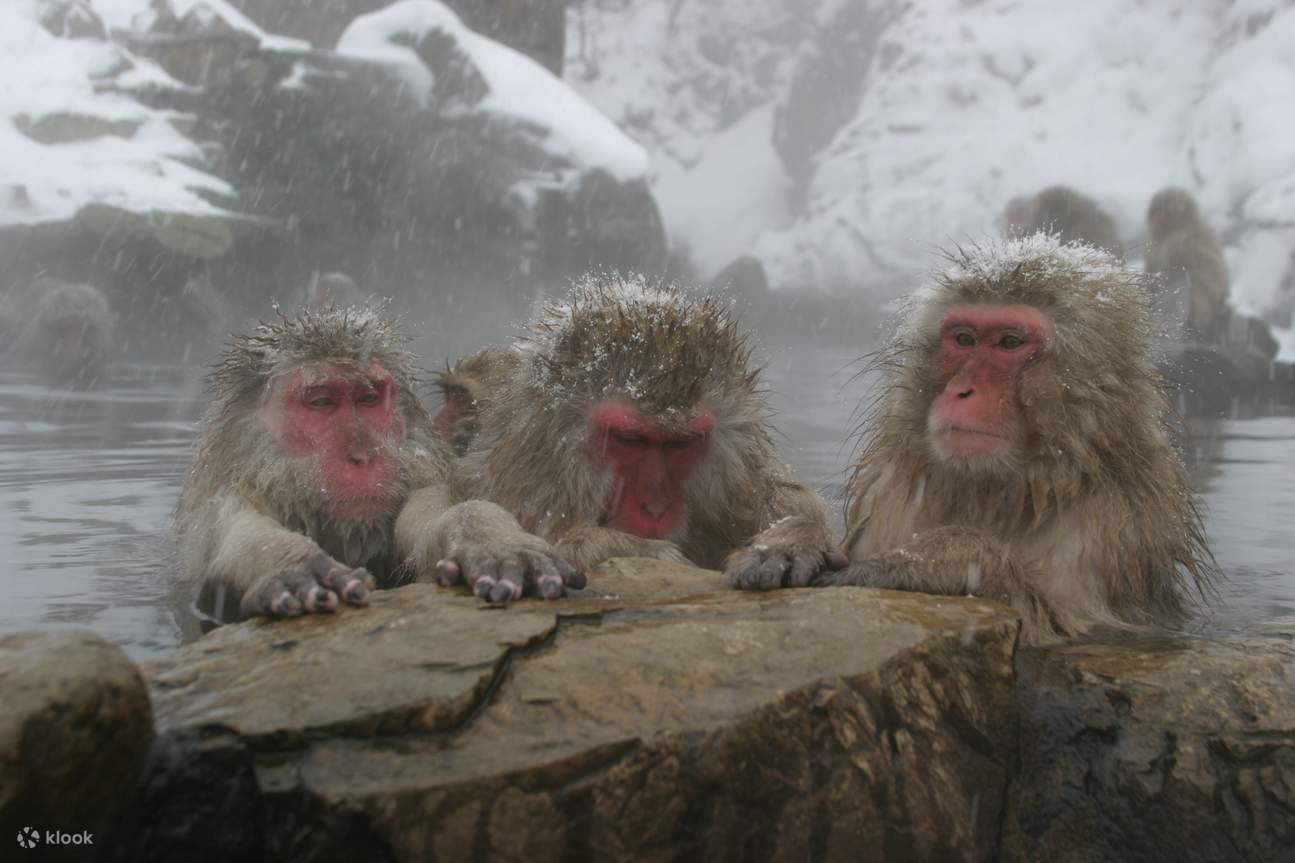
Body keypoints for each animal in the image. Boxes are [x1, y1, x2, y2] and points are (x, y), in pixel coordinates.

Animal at [175, 306, 584, 622]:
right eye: (321, 402)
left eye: (368, 398)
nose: (363, 455)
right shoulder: (227, 499)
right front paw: (286, 560)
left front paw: (490, 537)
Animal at [448, 274, 843, 601]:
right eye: (629, 439)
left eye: (680, 443)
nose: (655, 506)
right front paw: (638, 551)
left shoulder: (737, 484)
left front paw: (790, 540)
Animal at [810, 235, 1216, 644]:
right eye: (964, 338)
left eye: (1009, 342)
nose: (962, 391)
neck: (1003, 491)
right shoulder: (892, 492)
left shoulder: (1110, 525)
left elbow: (1060, 626)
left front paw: (933, 559)